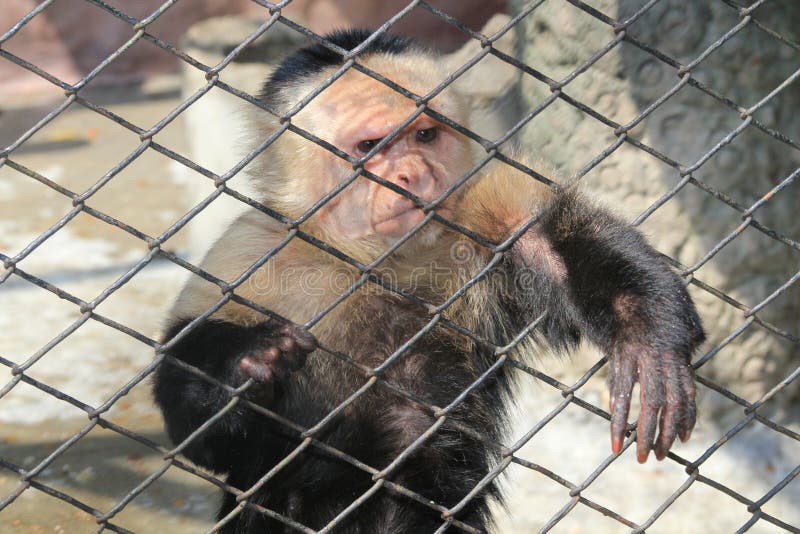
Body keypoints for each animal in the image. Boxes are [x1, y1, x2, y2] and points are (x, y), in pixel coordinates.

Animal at [153, 29, 705, 533]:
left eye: (423, 135)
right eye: (370, 147)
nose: (411, 176)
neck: (379, 260)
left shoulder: (479, 203)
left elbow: (559, 237)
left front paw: (647, 339)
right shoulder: (254, 250)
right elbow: (199, 429)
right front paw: (246, 367)